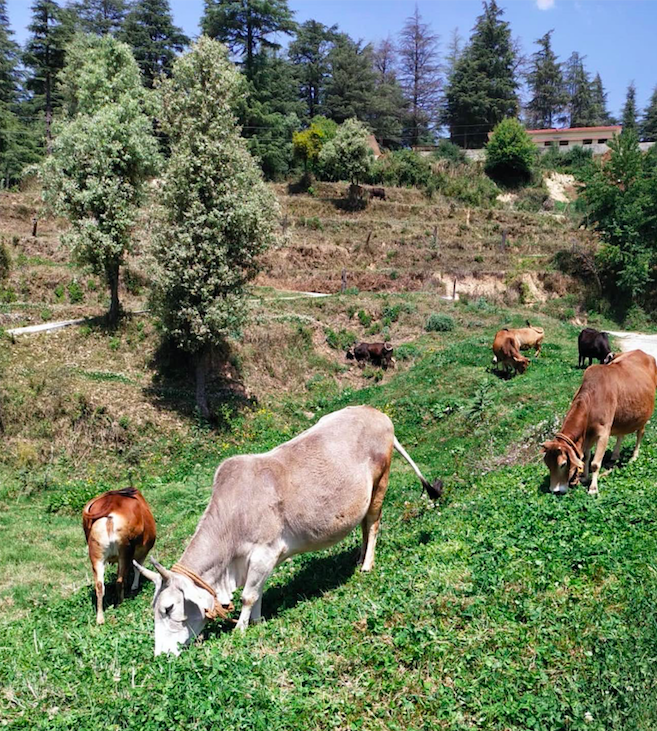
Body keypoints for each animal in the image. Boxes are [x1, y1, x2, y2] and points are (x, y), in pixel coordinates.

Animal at [82, 487, 156, 625]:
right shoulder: (142, 552)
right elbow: (138, 568)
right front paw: (134, 586)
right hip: (125, 551)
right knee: (119, 580)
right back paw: (121, 603)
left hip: (96, 557)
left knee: (99, 586)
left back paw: (100, 618)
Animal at [134, 405, 442, 656]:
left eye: (168, 608)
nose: (161, 655)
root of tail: (378, 415)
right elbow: (257, 592)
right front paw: (257, 621)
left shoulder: (265, 552)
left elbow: (248, 594)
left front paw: (240, 630)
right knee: (365, 526)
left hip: (381, 482)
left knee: (373, 525)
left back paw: (367, 565)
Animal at [542, 349, 657, 496]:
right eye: (547, 463)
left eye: (562, 464)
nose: (554, 490)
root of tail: (642, 352)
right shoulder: (588, 435)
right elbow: (585, 457)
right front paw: (585, 477)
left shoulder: (603, 433)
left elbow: (595, 463)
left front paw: (593, 488)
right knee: (621, 433)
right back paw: (614, 456)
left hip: (643, 416)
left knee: (640, 434)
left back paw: (633, 457)